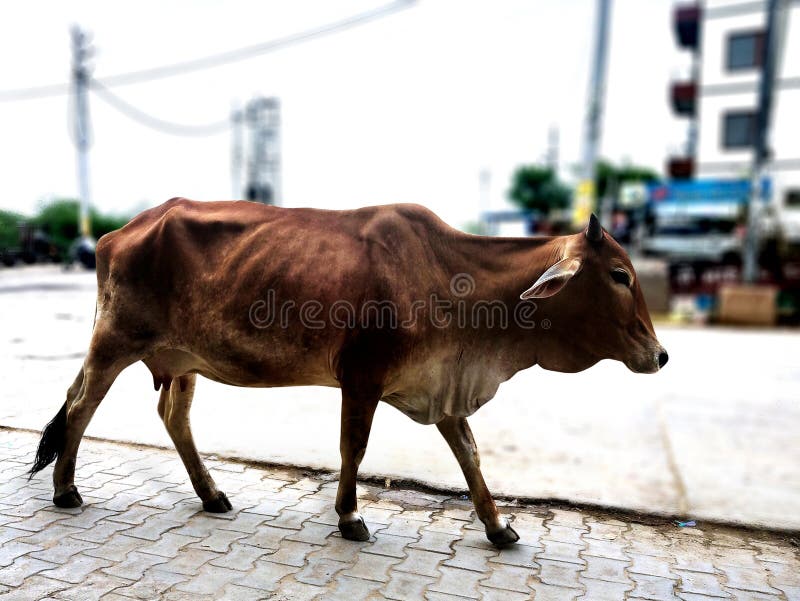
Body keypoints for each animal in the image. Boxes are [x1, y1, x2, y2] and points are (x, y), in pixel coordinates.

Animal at [29, 198, 667, 547]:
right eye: (618, 274)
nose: (660, 355)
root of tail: (118, 232)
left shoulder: (443, 388)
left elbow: (470, 457)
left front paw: (498, 529)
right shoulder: (362, 377)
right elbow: (353, 448)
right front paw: (351, 517)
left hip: (181, 359)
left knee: (172, 416)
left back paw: (212, 495)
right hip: (114, 341)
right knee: (81, 406)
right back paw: (65, 489)